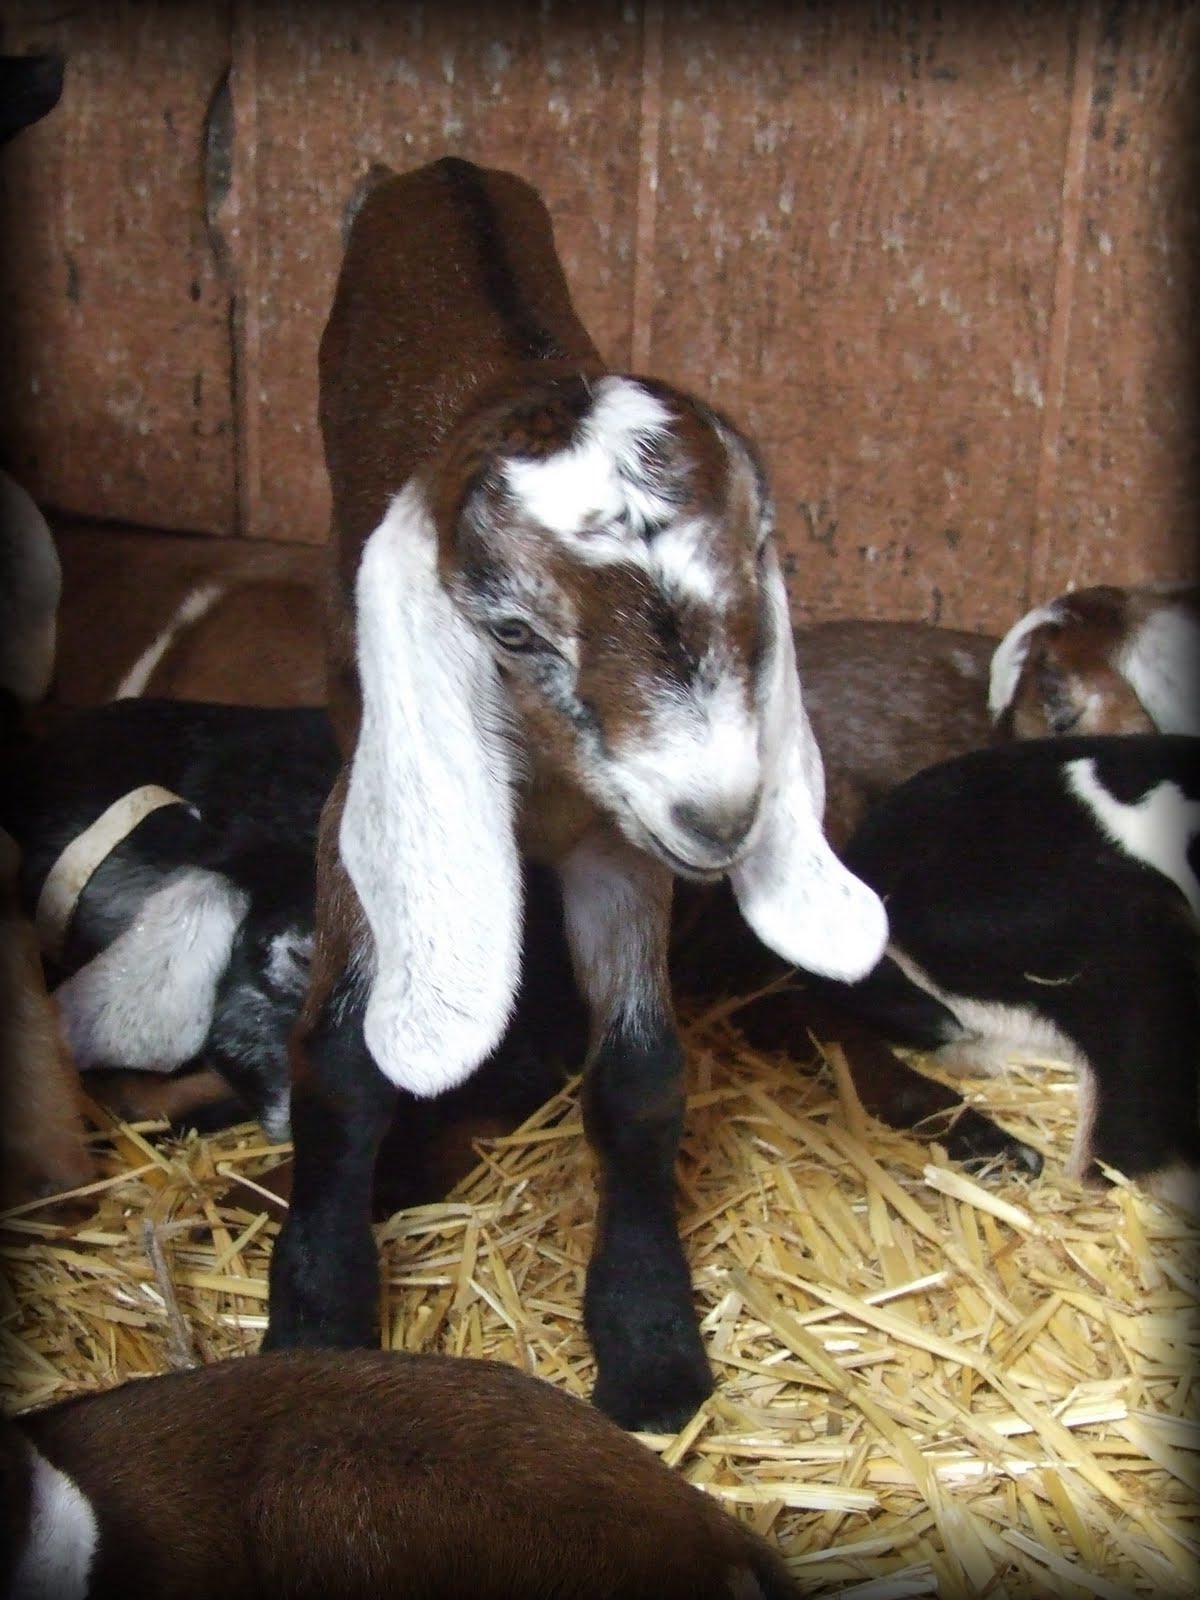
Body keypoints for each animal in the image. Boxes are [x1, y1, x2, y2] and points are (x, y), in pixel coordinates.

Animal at [259, 154, 887, 1432]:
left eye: (761, 570)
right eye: (509, 629)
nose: (722, 818)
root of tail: (440, 167)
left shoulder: (622, 845)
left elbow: (640, 1078)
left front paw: (650, 1344)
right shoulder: (361, 814)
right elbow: (340, 1063)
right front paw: (316, 1318)